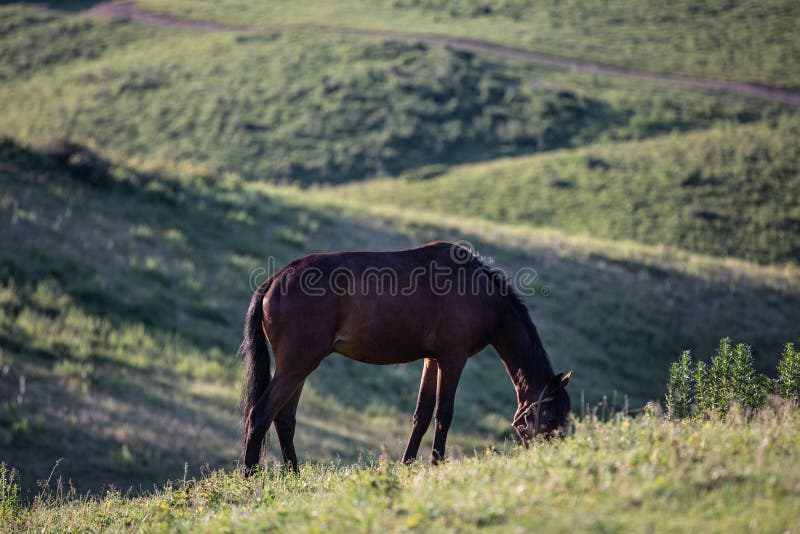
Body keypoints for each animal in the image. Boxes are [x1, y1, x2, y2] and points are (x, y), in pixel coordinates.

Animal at [240, 241, 572, 472]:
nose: (552, 457)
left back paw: (295, 477)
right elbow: (444, 414)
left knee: (284, 418)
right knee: (260, 414)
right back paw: (250, 478)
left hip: (298, 369)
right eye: (551, 416)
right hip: (296, 367)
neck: (481, 292)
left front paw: (408, 465)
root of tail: (275, 279)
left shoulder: (432, 360)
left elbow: (421, 415)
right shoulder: (453, 358)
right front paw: (436, 464)